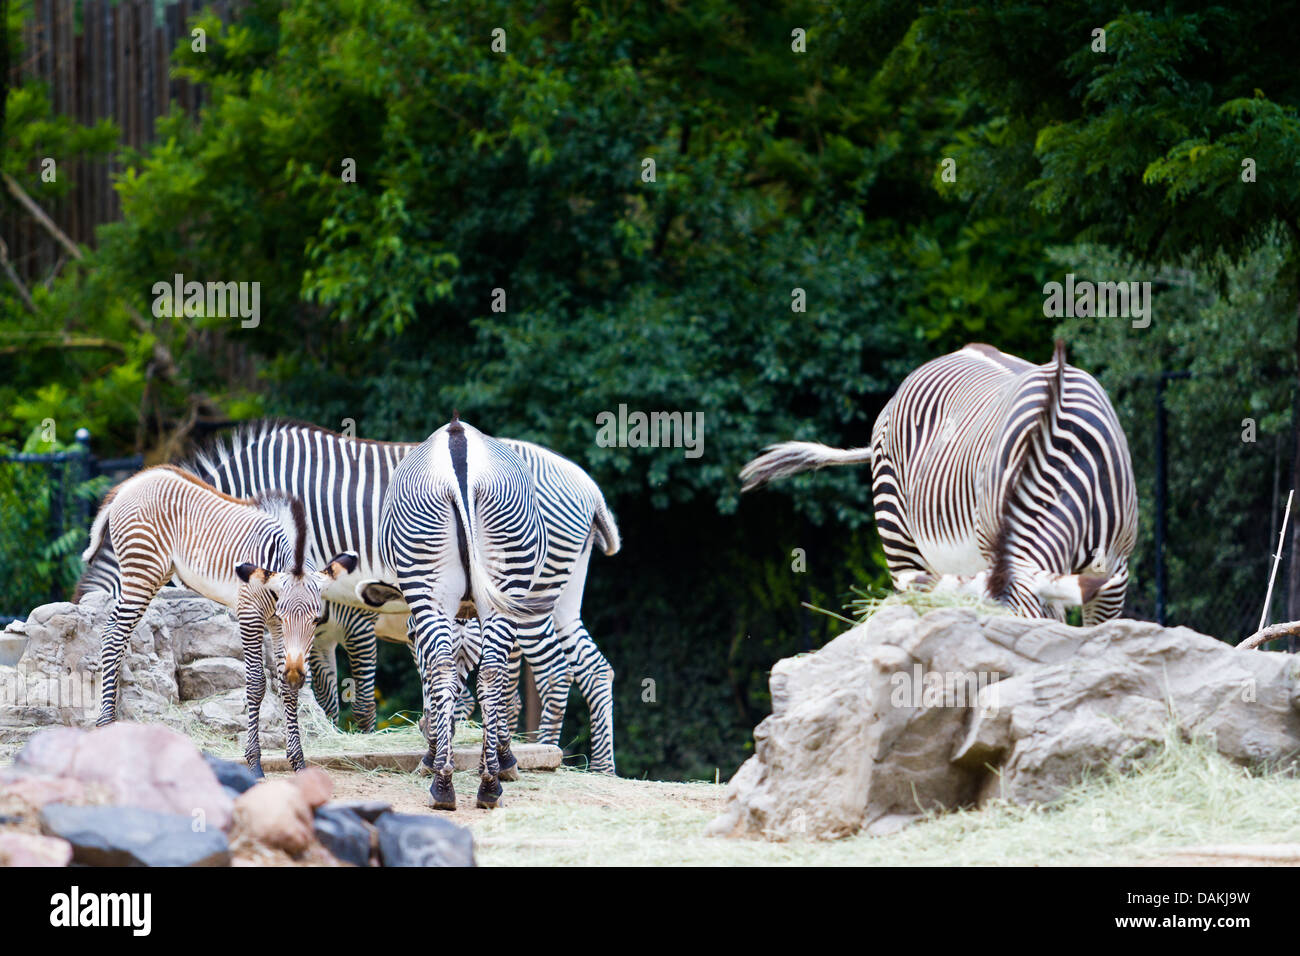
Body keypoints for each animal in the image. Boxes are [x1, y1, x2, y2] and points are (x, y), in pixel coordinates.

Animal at [76, 465, 356, 775]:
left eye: (317, 620)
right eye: (284, 616)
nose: (297, 675)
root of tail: (132, 482)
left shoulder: (275, 628)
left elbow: (286, 687)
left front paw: (298, 762)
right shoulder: (251, 616)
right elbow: (256, 684)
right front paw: (254, 764)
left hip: (156, 572)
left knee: (115, 632)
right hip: (141, 571)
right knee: (114, 635)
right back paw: (105, 725)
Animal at [368, 414, 556, 810]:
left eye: (409, 637)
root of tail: (458, 442)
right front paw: (498, 759)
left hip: (435, 584)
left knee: (453, 670)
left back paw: (449, 781)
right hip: (500, 579)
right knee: (487, 671)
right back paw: (479, 782)